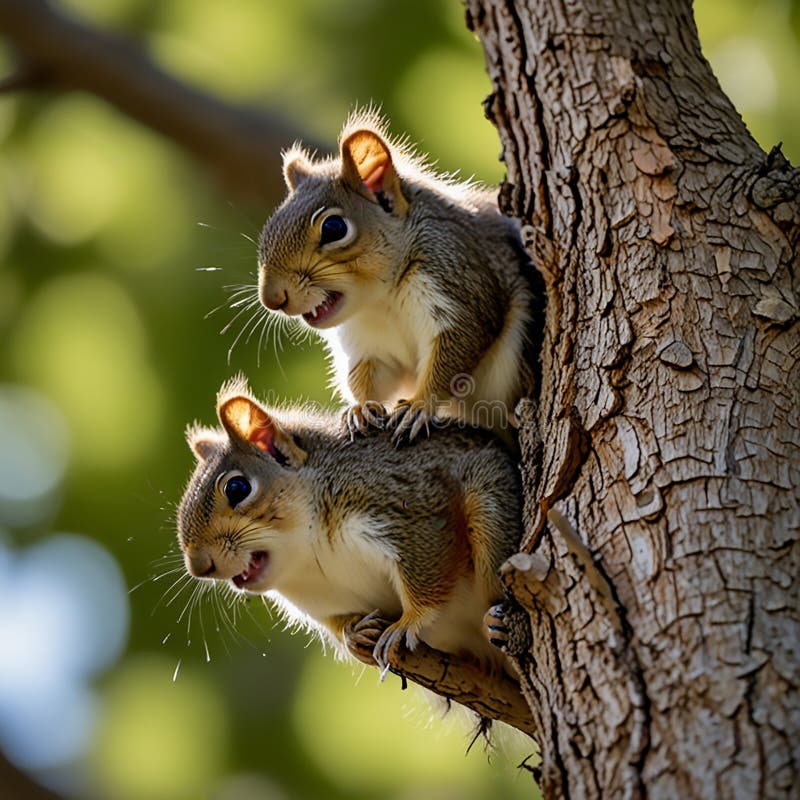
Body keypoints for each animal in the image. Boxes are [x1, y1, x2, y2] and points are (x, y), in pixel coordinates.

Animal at [177, 378, 522, 674]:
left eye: (237, 488)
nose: (199, 566)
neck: (311, 554)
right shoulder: (325, 605)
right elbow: (338, 626)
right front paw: (353, 634)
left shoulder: (411, 512)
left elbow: (429, 570)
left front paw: (407, 624)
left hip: (489, 505)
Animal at [257, 109, 538, 441]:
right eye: (269, 227)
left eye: (334, 228)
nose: (272, 299)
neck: (382, 300)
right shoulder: (370, 343)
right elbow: (370, 376)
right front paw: (360, 408)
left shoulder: (457, 280)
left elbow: (456, 352)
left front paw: (419, 405)